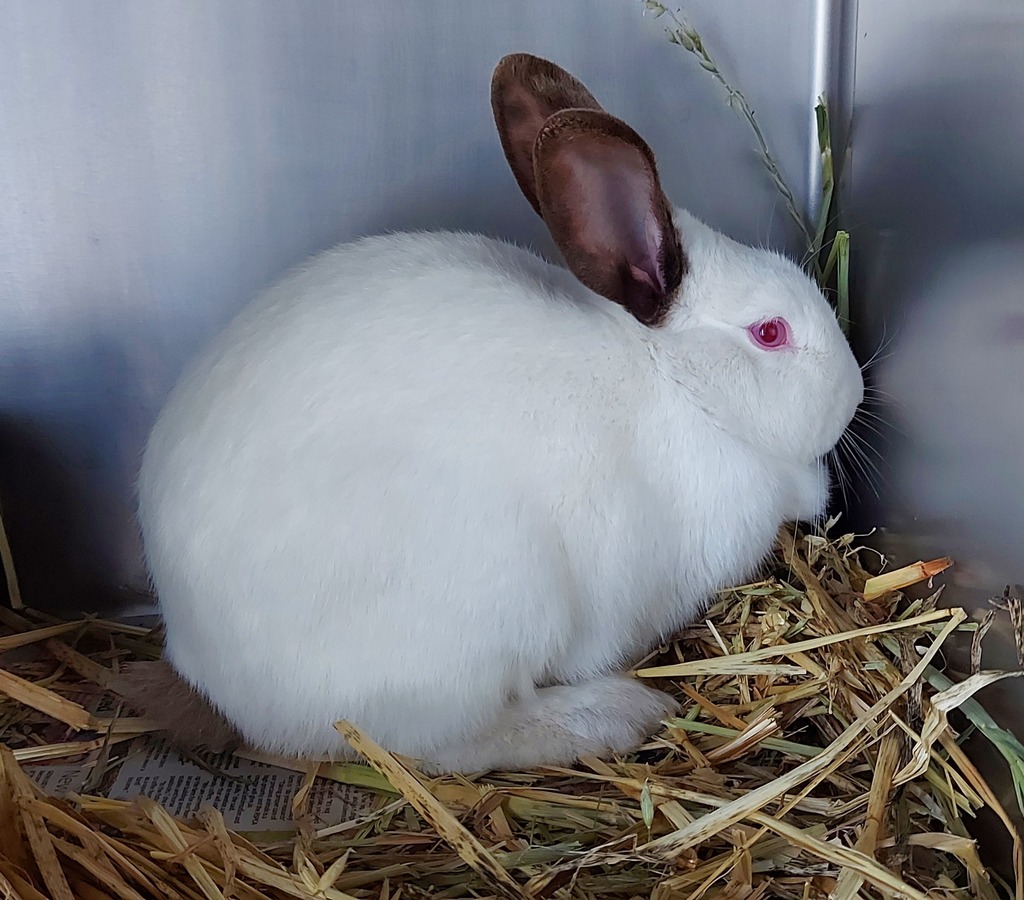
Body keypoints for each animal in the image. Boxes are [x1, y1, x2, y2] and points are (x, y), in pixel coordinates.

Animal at [133, 53, 863, 773]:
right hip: (483, 618)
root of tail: (205, 666)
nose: (854, 390)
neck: (680, 387)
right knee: (443, 743)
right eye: (769, 332)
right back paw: (614, 714)